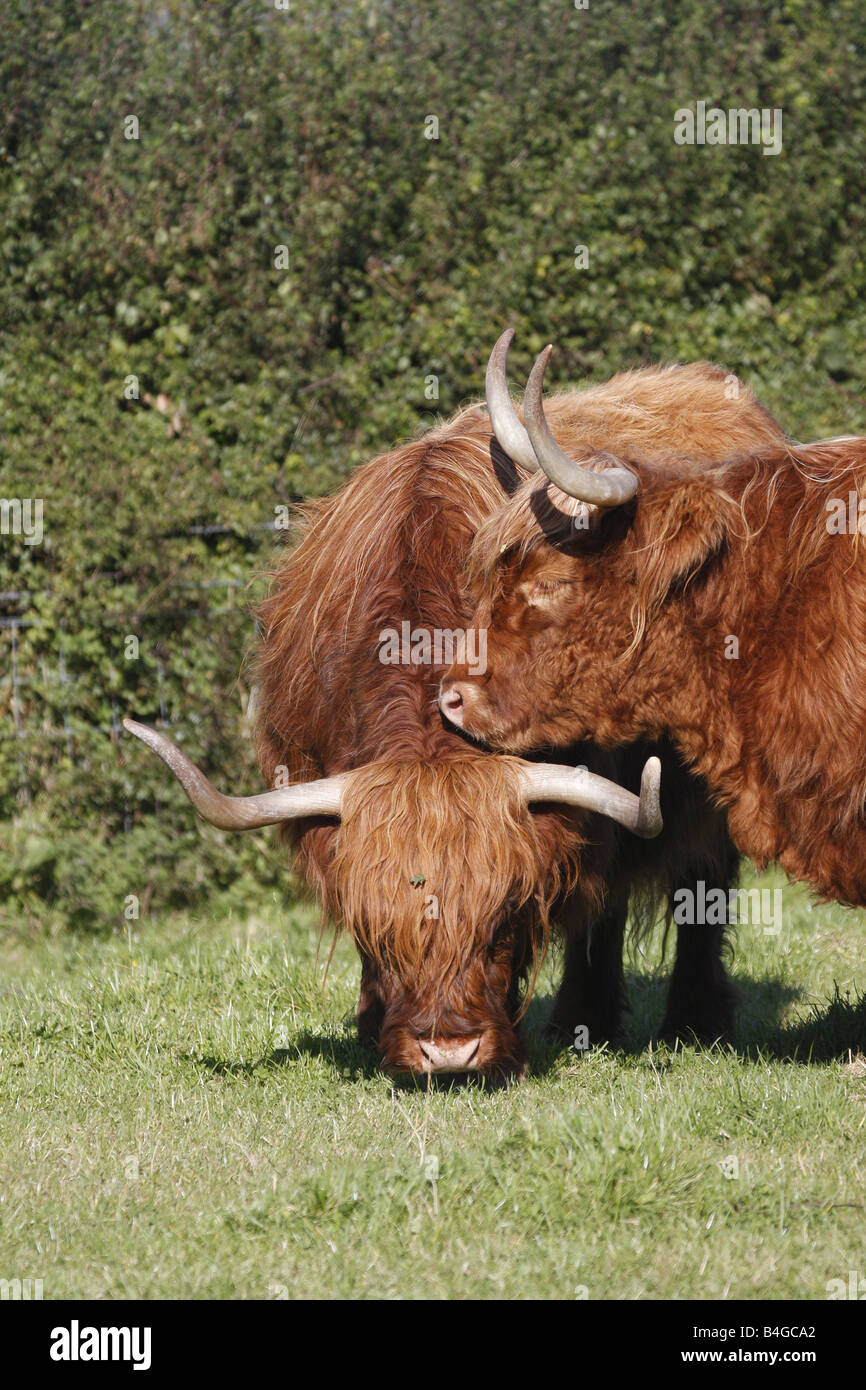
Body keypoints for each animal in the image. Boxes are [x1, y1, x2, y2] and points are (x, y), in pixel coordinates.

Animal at [125, 386, 741, 1081]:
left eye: (502, 924)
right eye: (381, 934)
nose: (448, 1052)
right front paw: (371, 1028)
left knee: (697, 893)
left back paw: (688, 1023)